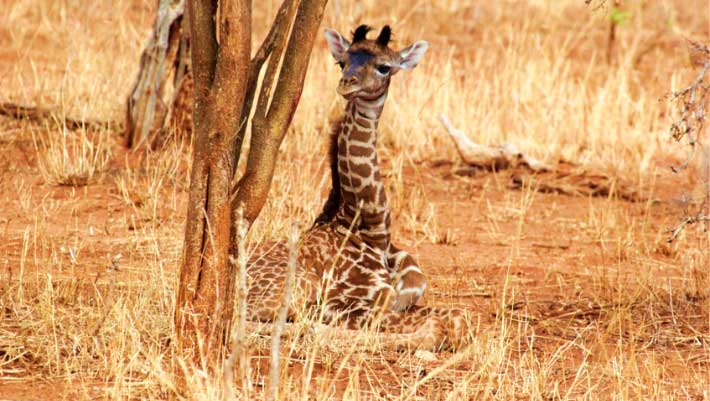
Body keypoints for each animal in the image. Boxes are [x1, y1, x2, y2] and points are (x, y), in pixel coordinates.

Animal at [246, 25, 468, 350]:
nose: (346, 84)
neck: (372, 230)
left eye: (384, 67)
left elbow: (457, 317)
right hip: (292, 290)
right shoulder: (345, 301)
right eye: (342, 62)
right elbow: (437, 325)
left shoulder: (404, 298)